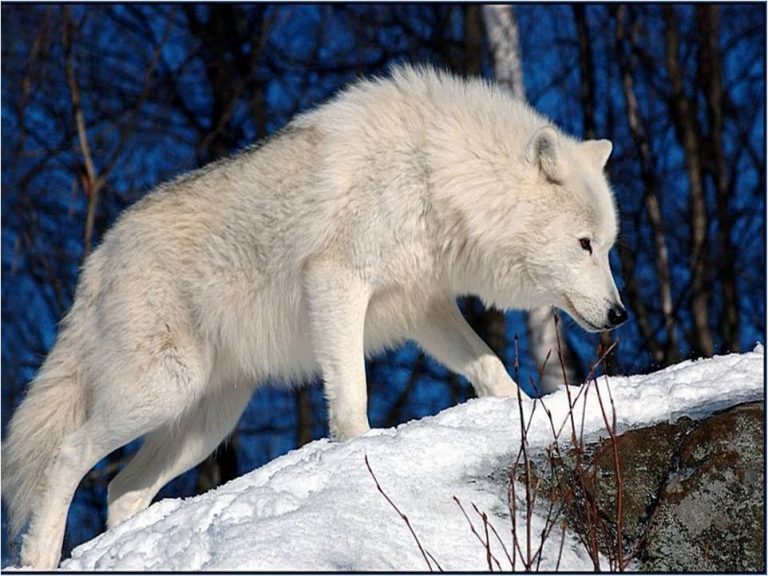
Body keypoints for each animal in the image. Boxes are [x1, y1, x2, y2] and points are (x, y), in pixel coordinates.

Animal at [2, 64, 627, 568]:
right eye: (585, 245)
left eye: (608, 246)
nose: (620, 314)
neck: (435, 173)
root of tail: (99, 257)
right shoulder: (337, 281)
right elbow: (351, 394)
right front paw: (357, 454)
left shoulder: (425, 307)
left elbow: (490, 368)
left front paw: (527, 412)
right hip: (162, 390)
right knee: (67, 456)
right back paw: (39, 556)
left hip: (207, 423)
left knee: (121, 490)